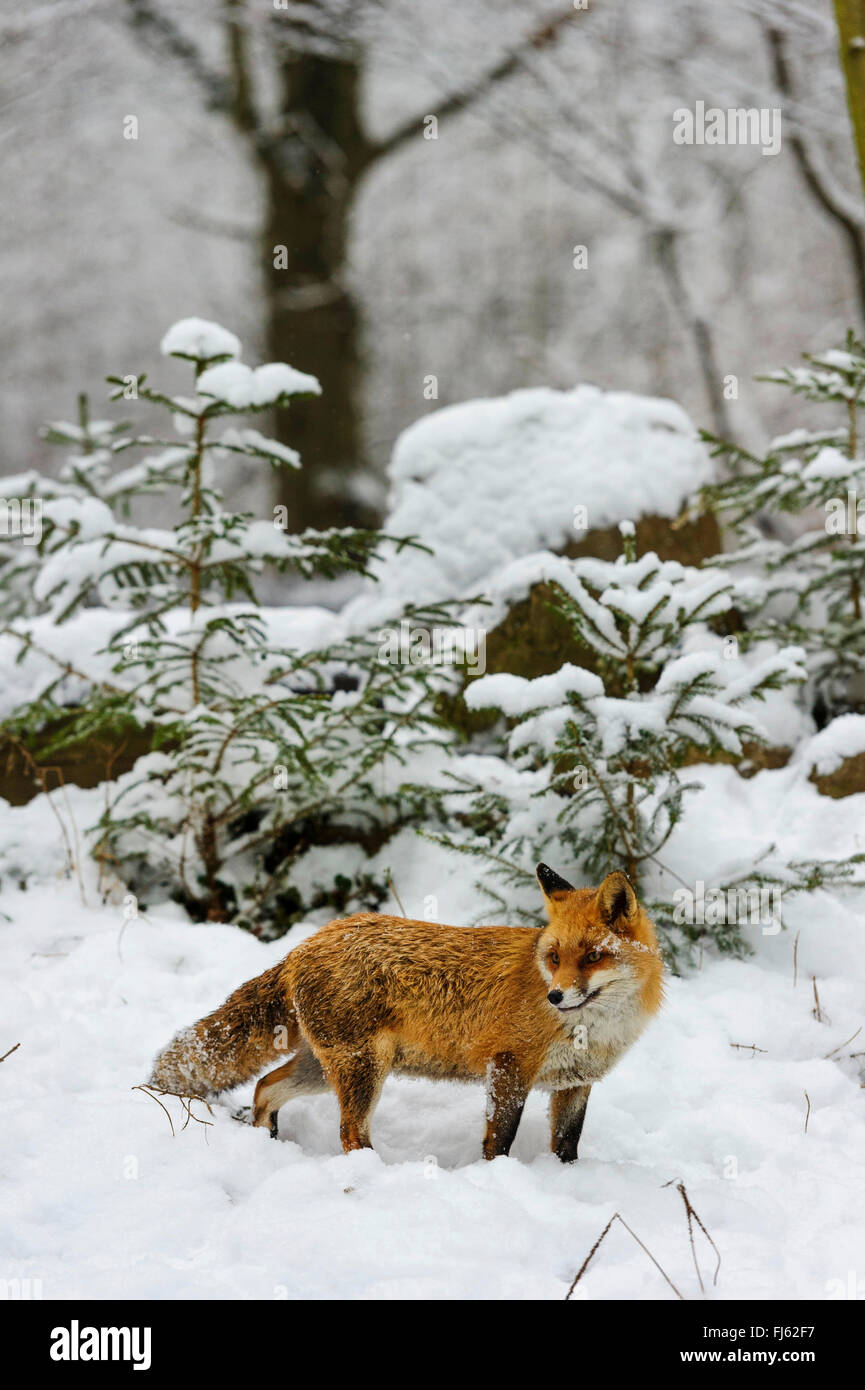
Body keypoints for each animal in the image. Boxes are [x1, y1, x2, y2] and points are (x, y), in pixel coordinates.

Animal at [148, 865, 664, 1162]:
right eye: (554, 957)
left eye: (593, 956)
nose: (556, 996)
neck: (591, 1031)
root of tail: (305, 944)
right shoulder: (510, 1068)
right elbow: (499, 1142)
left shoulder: (576, 1082)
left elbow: (566, 1146)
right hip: (364, 1069)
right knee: (349, 1133)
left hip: (322, 1069)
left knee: (263, 1087)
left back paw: (266, 1144)